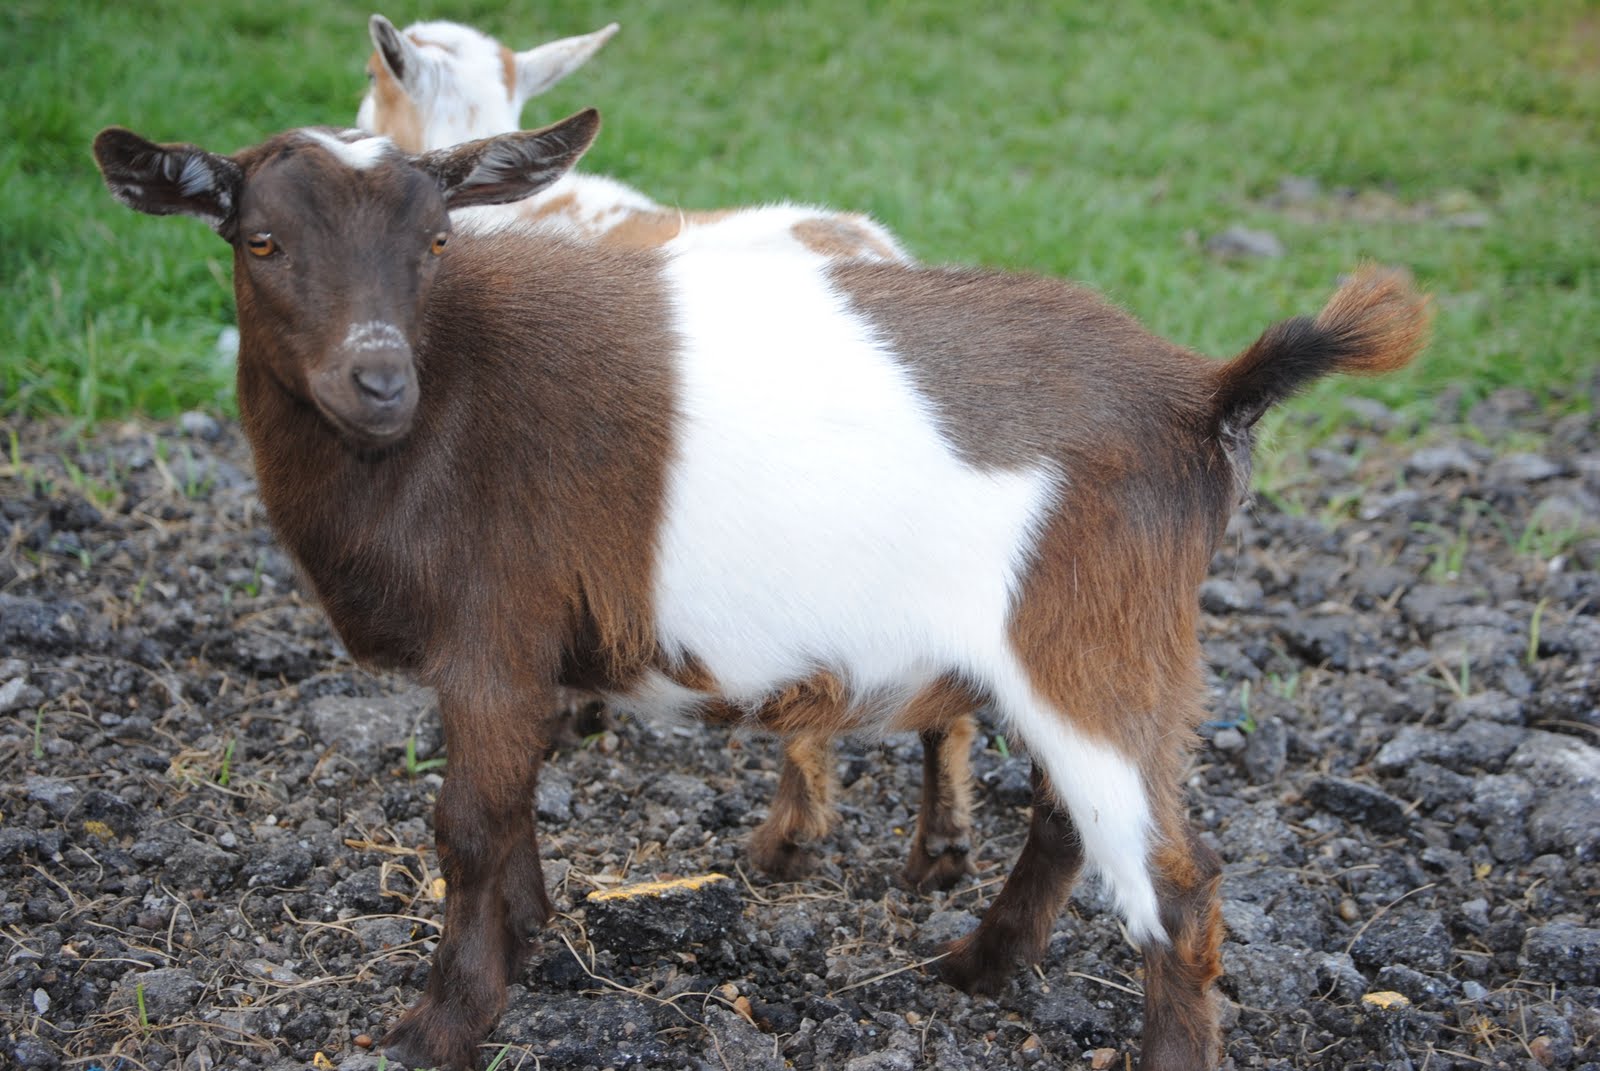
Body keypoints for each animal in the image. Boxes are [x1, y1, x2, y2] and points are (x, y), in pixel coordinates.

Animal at [93, 111, 1430, 1071]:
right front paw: (532, 944)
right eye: (260, 242)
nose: (377, 381)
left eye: (433, 244)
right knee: (1069, 821)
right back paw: (976, 968)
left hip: (1088, 639)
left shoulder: (493, 635)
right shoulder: (523, 663)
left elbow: (465, 824)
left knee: (1176, 889)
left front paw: (440, 1026)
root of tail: (1200, 392)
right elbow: (512, 814)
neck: (441, 404)